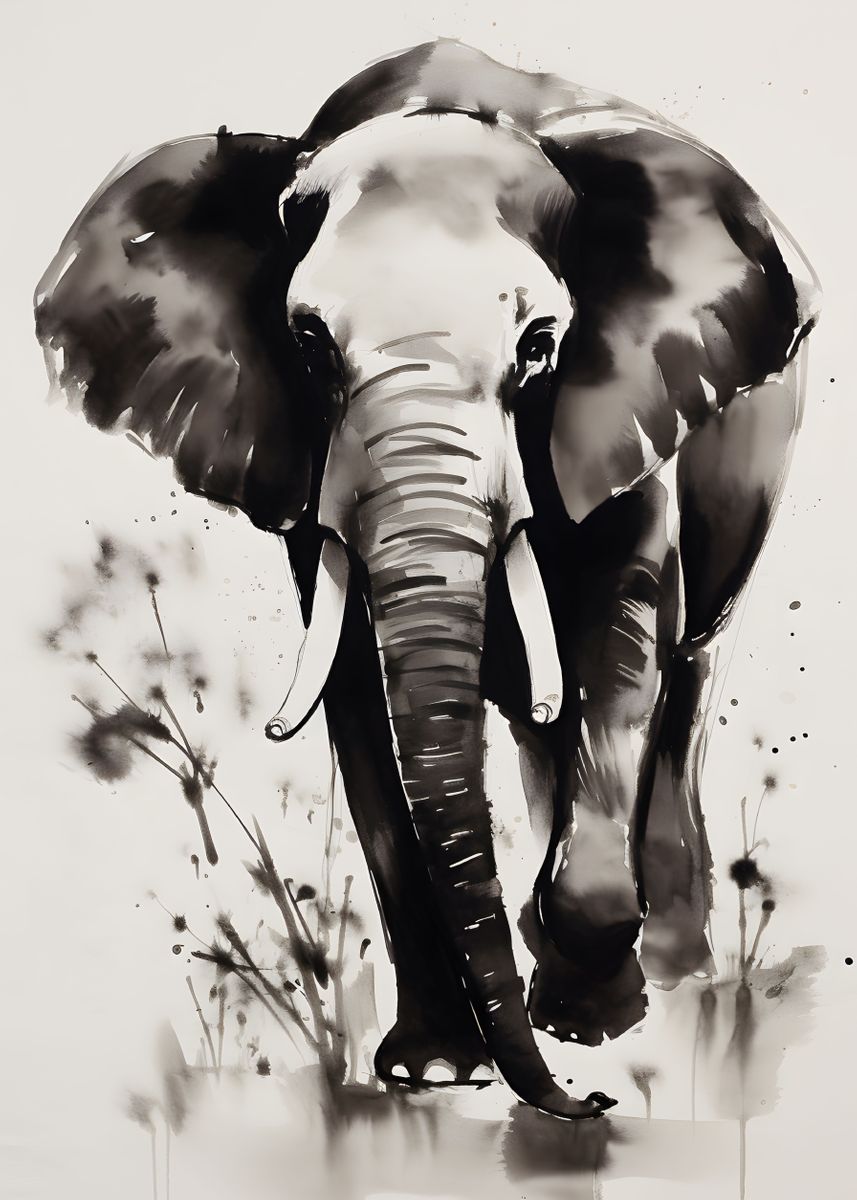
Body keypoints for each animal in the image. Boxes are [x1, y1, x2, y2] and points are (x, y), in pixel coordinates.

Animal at [34, 40, 820, 1119]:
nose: (590, 1105)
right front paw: (435, 1069)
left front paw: (587, 1020)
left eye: (539, 345)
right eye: (308, 341)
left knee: (682, 679)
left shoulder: (620, 409)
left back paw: (666, 964)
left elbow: (618, 637)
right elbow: (358, 691)